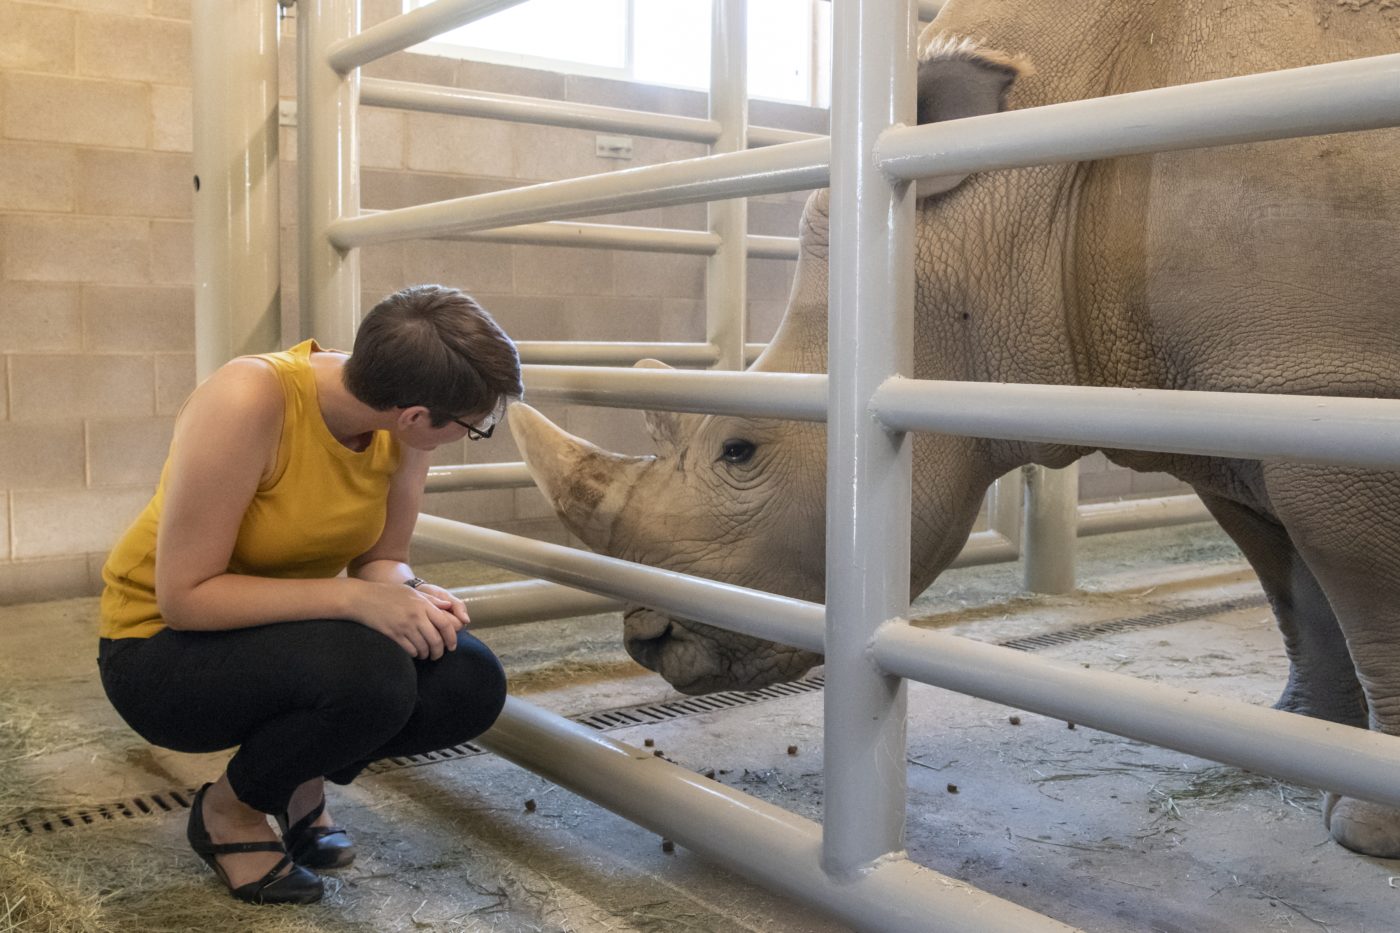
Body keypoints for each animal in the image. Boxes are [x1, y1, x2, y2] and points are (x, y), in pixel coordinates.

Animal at [508, 0, 1400, 857]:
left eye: (741, 448)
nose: (645, 638)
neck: (1008, 197)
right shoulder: (1238, 404)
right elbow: (1291, 587)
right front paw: (1294, 743)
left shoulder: (1336, 391)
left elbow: (1364, 593)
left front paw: (1364, 830)